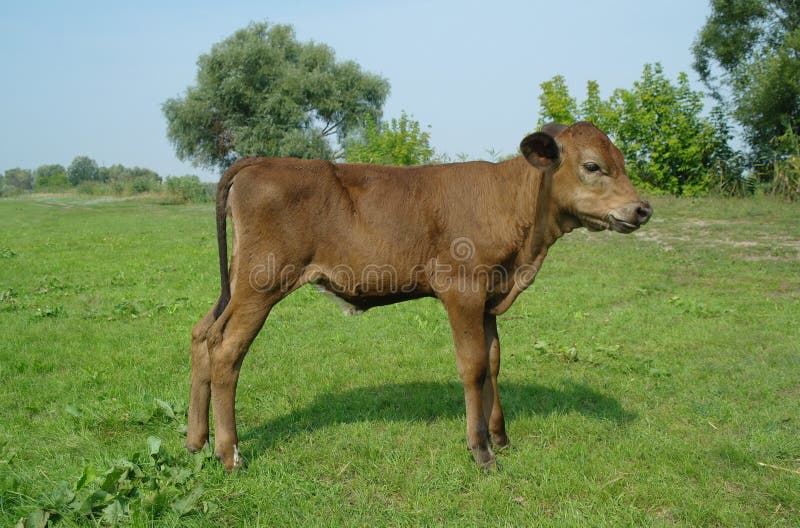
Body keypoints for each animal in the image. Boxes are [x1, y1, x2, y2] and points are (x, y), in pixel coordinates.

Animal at [185, 121, 653, 470]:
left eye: (622, 161)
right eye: (593, 165)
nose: (642, 209)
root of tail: (260, 161)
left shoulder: (489, 297)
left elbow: (494, 361)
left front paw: (500, 436)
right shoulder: (462, 290)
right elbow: (473, 366)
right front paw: (481, 451)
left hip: (238, 281)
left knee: (202, 334)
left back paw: (196, 441)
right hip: (262, 281)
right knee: (227, 349)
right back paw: (229, 454)